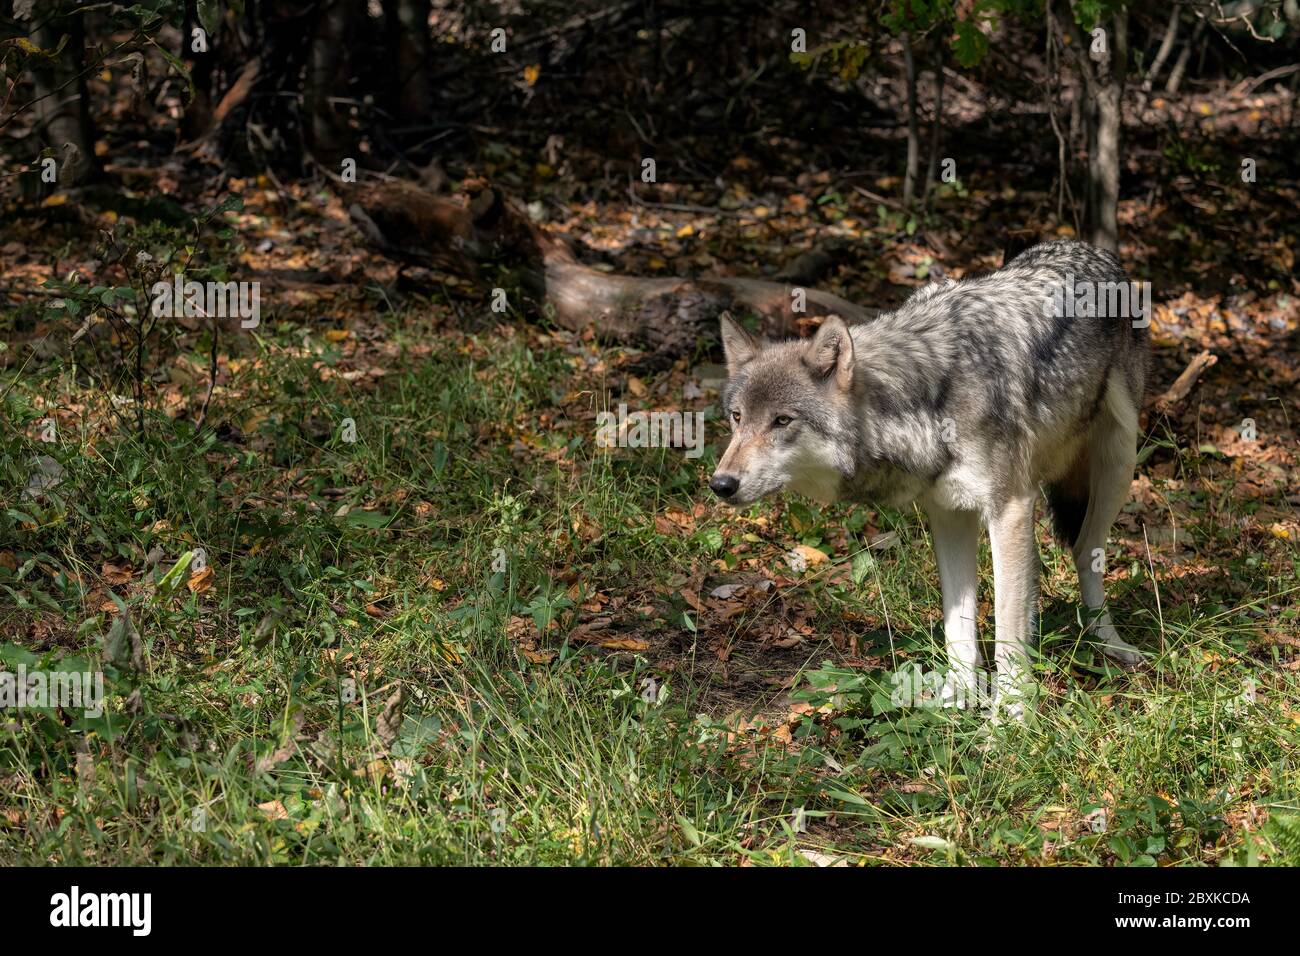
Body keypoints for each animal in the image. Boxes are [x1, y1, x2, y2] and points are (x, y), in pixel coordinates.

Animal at [708, 240, 1148, 715]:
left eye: (782, 421)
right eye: (737, 418)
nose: (721, 484)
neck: (925, 403)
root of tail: (1088, 248)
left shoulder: (1010, 508)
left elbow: (1006, 634)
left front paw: (1010, 719)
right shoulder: (948, 511)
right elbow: (958, 625)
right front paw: (955, 702)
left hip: (1119, 464)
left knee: (1086, 551)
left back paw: (1108, 644)